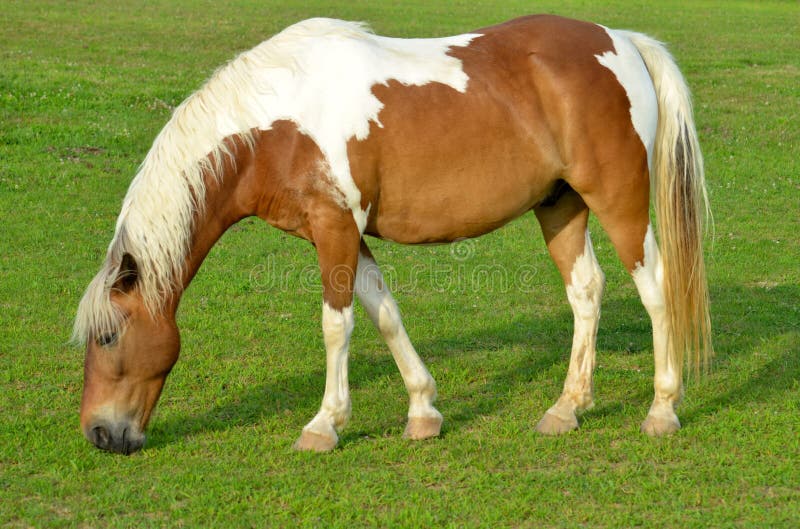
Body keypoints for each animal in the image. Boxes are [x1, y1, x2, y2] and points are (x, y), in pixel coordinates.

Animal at [73, 14, 712, 454]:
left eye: (108, 337)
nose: (100, 433)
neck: (272, 125)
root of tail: (622, 40)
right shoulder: (343, 234)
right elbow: (384, 313)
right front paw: (423, 411)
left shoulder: (333, 227)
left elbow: (337, 325)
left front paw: (324, 425)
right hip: (560, 206)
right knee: (586, 292)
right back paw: (566, 408)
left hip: (618, 202)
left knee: (656, 290)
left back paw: (662, 409)